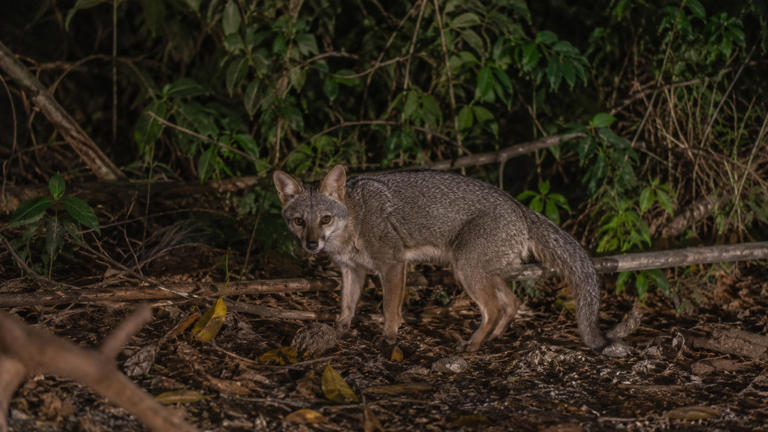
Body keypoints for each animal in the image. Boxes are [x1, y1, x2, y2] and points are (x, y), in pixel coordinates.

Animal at [273, 165, 622, 354]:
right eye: (300, 221)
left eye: (326, 219)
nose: (312, 244)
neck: (354, 220)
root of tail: (520, 207)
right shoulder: (351, 270)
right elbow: (346, 307)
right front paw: (339, 331)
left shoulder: (392, 263)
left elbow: (389, 308)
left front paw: (389, 337)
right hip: (482, 272)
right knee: (512, 303)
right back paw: (492, 338)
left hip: (466, 270)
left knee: (495, 309)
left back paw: (473, 344)